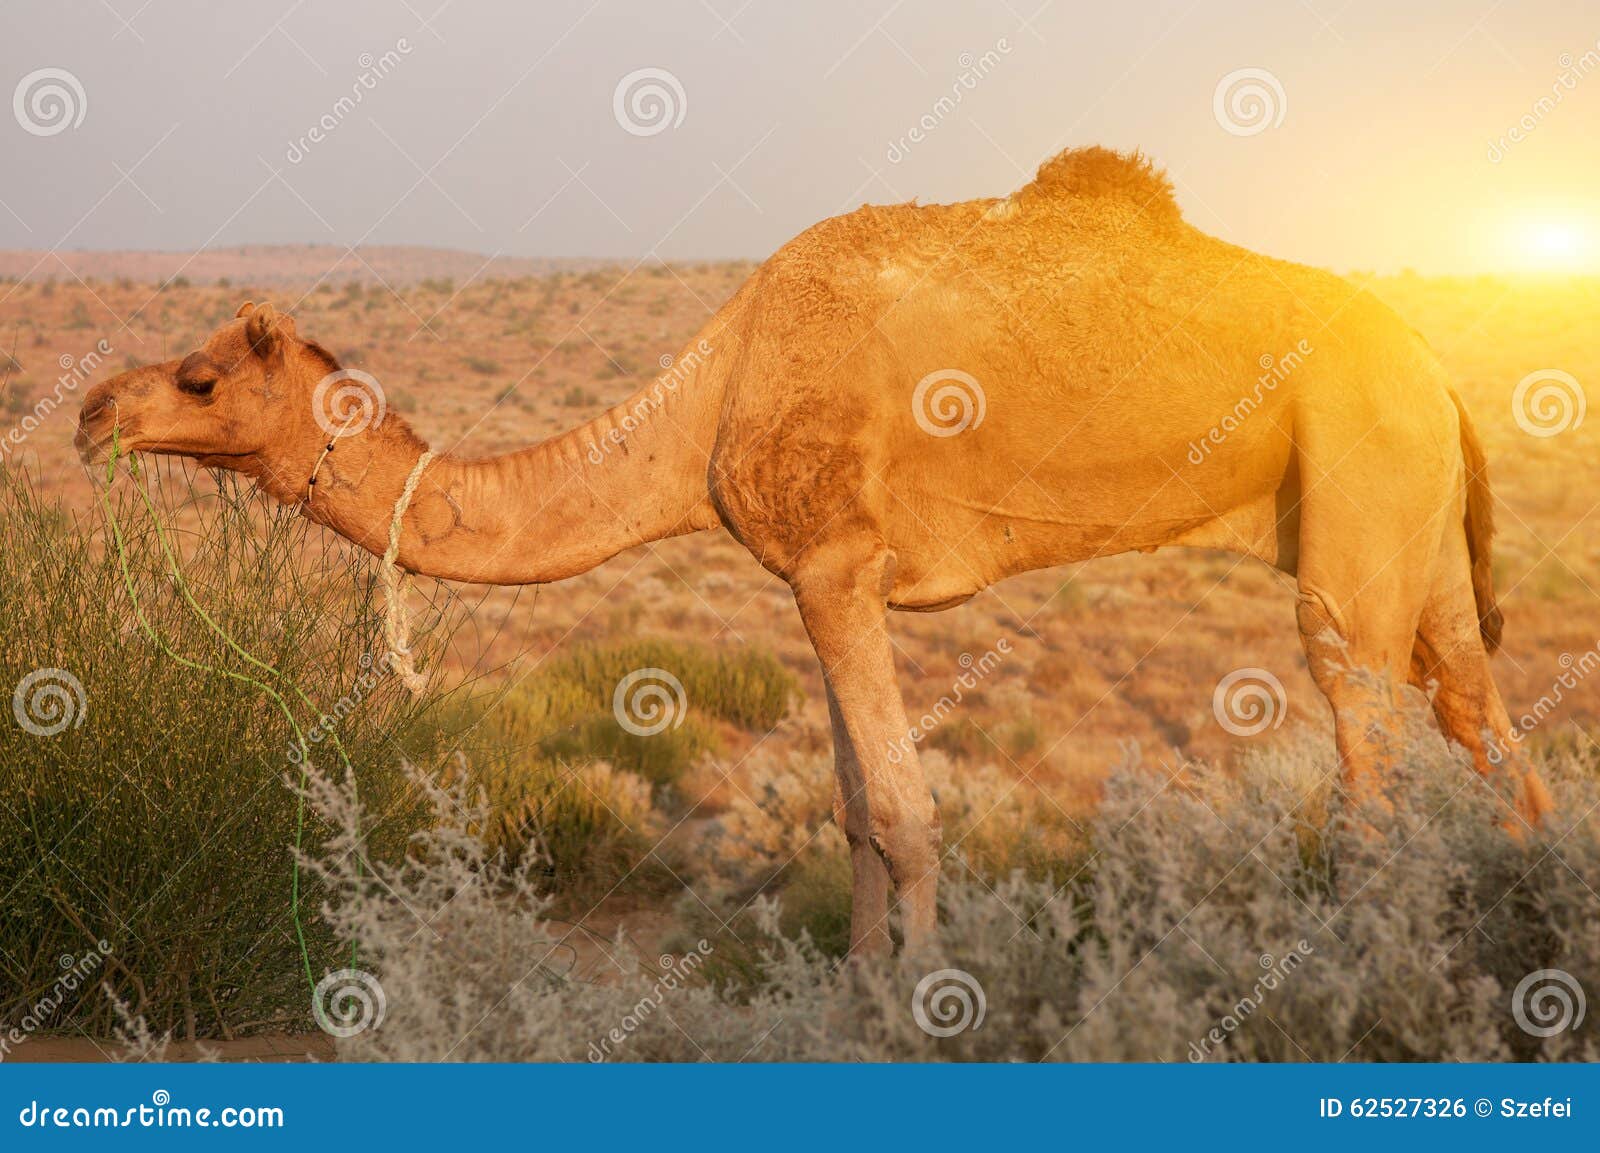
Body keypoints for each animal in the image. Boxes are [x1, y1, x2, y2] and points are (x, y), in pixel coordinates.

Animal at [76, 147, 1551, 957]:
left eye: (201, 378)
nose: (93, 410)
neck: (713, 390)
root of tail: (1439, 370)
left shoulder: (840, 560)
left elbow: (905, 814)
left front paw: (922, 1012)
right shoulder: (814, 577)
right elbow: (850, 815)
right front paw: (852, 1001)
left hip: (1357, 482)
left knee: (1368, 746)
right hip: (1412, 527)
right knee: (1493, 730)